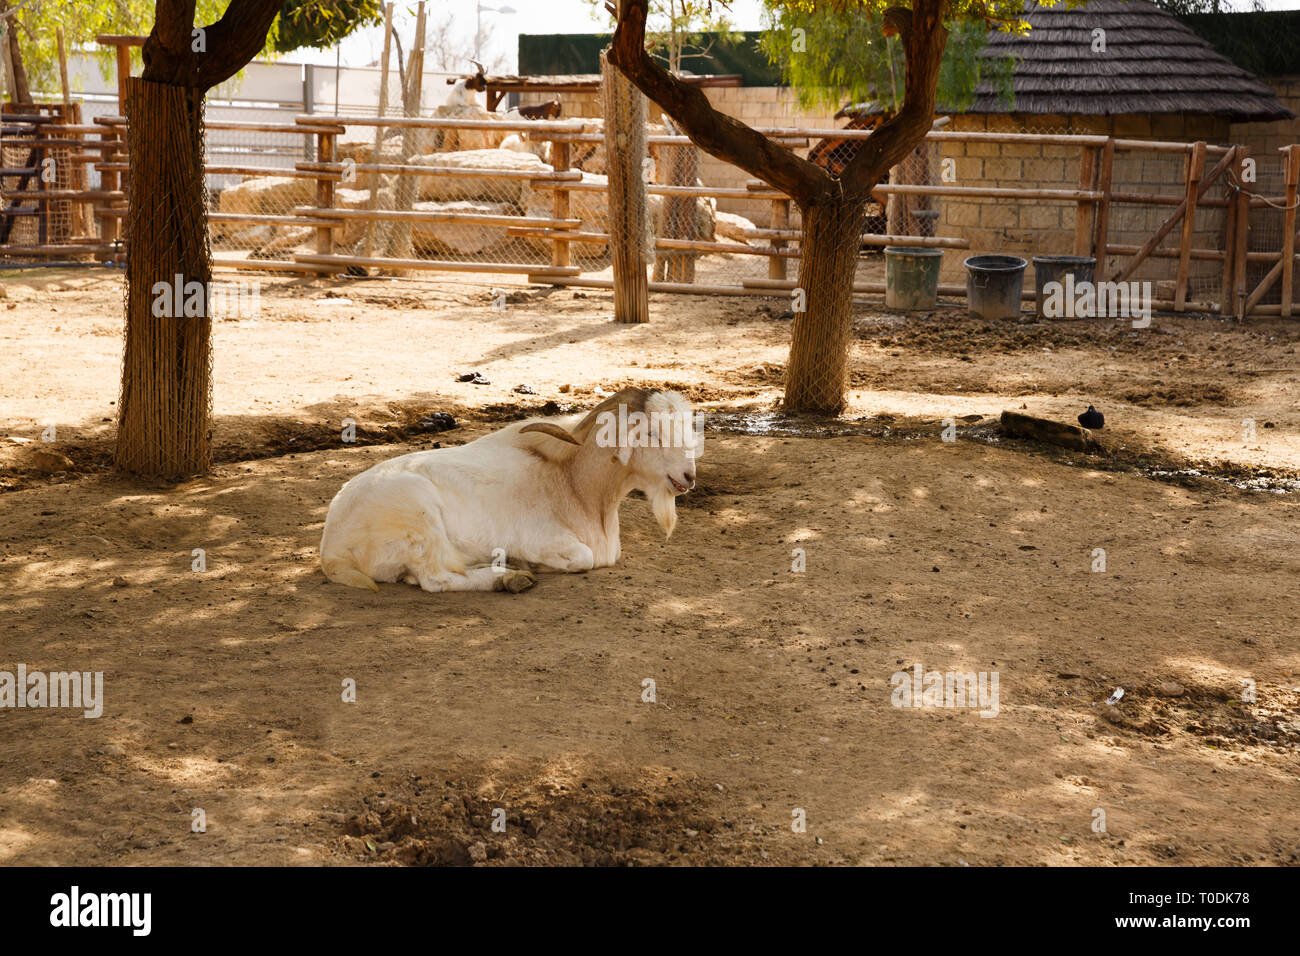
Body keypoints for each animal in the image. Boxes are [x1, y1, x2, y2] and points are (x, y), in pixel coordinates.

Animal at [319, 389, 701, 594]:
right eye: (651, 433)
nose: (688, 476)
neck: (572, 483)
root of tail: (331, 548)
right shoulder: (541, 539)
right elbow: (584, 558)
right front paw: (529, 564)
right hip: (418, 513)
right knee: (434, 579)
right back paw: (510, 578)